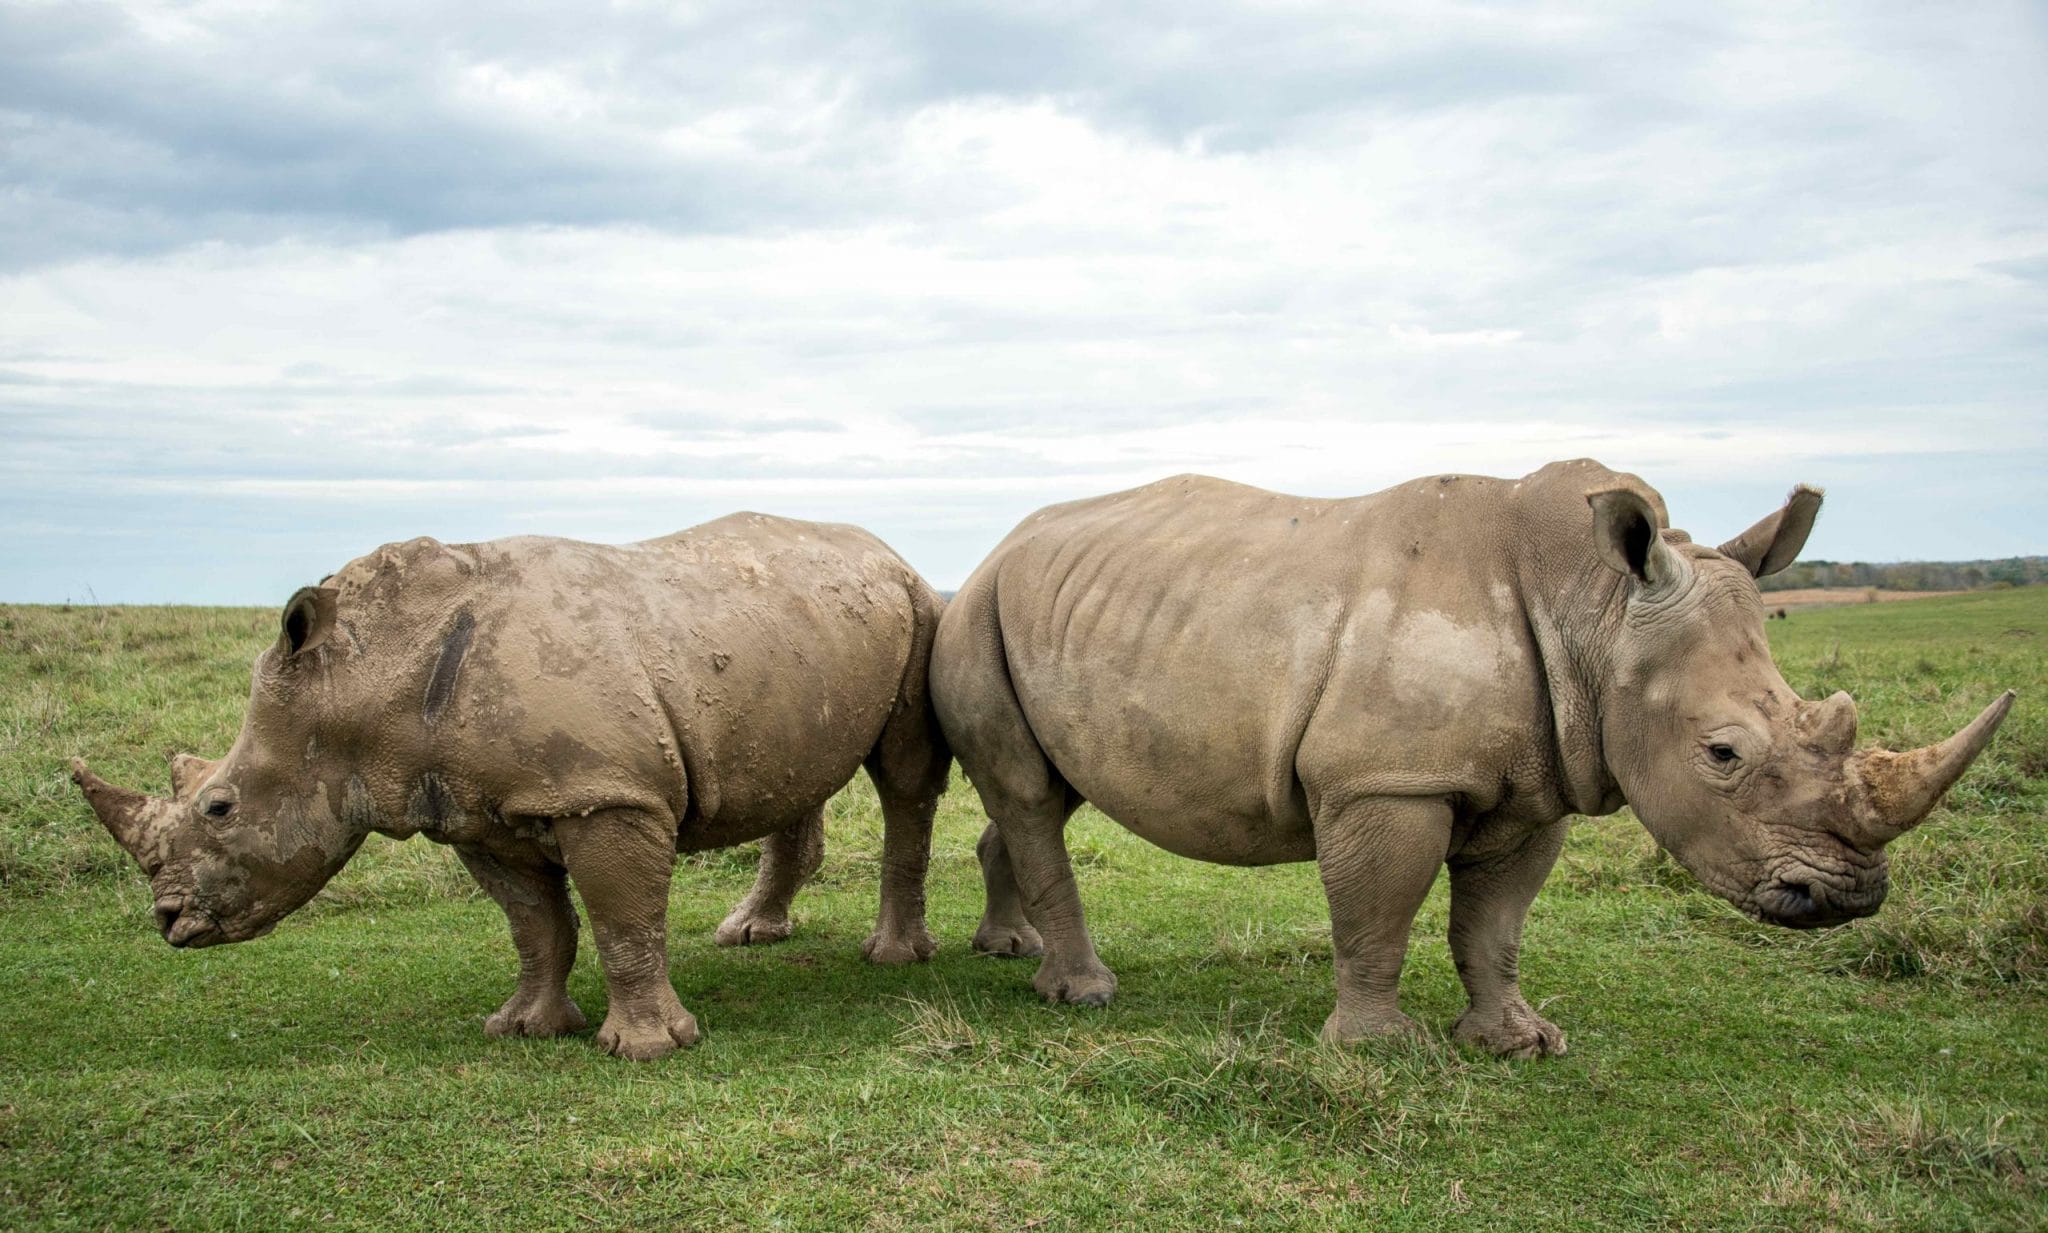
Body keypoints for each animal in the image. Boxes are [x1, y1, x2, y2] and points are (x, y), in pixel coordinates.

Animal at [72, 515, 950, 1060]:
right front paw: (524, 1028)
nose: (170, 921)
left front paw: (646, 1049)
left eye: (220, 807)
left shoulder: (605, 790)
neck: (363, 678)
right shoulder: (469, 811)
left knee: (903, 779)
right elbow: (534, 924)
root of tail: (883, 548)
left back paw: (891, 958)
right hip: (799, 632)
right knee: (797, 774)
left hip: (916, 608)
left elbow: (623, 919)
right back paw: (748, 933)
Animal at [930, 461, 2014, 1057]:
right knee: (1030, 796)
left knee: (1048, 793)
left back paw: (1009, 950)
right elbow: (1378, 912)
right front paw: (1378, 1049)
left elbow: (1494, 923)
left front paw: (1519, 1044)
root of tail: (992, 549)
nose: (1845, 897)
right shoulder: (1386, 780)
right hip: (975, 612)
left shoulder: (1539, 784)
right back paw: (1084, 993)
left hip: (1047, 615)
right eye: (1720, 753)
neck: (1595, 606)